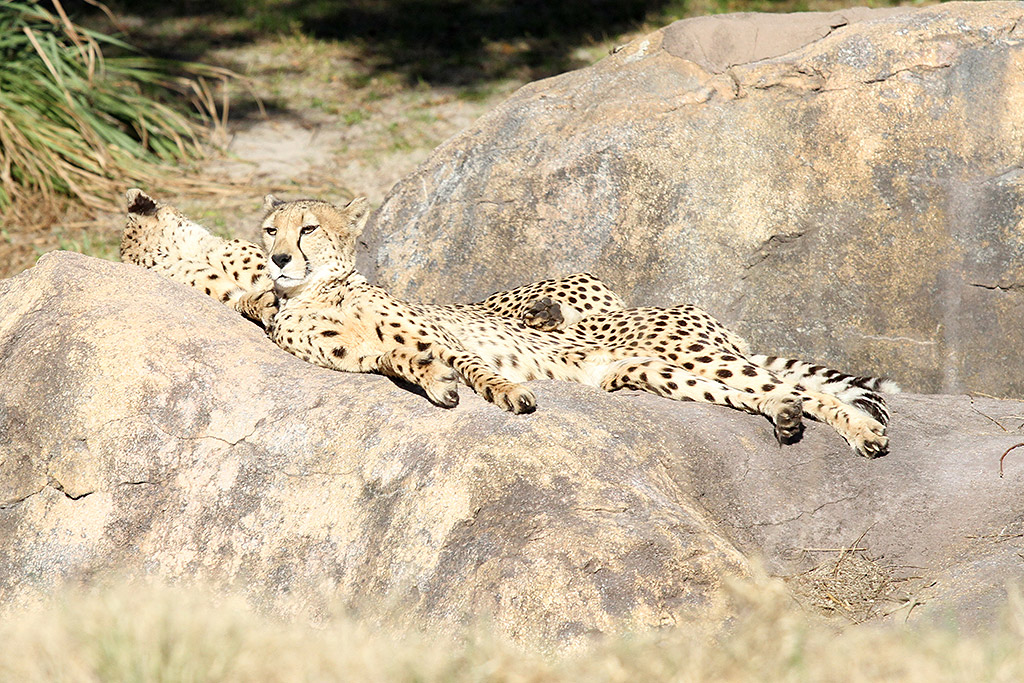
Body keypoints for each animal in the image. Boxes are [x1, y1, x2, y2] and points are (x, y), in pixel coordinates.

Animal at [251, 194, 898, 458]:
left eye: (307, 230)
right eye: (270, 230)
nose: (278, 259)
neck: (318, 291)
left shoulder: (446, 339)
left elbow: (475, 369)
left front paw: (507, 392)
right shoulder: (369, 356)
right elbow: (403, 360)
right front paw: (436, 385)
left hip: (694, 355)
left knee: (807, 389)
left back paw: (863, 430)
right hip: (654, 374)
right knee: (773, 395)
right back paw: (786, 419)